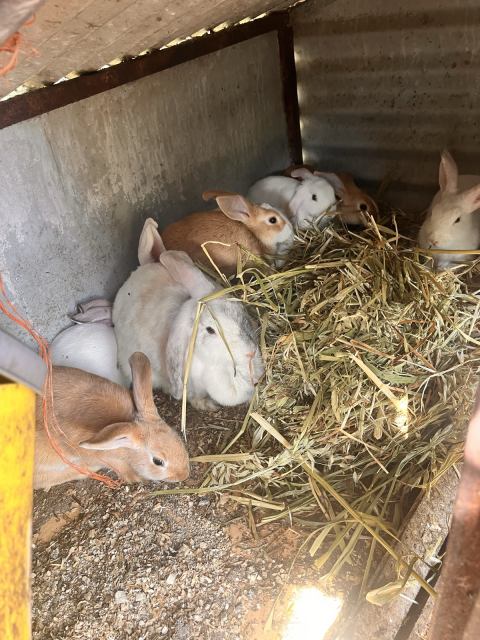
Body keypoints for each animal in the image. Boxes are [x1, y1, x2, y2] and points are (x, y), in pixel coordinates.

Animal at [34, 352, 190, 489]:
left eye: (178, 438)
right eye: (158, 461)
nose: (183, 475)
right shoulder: (99, 456)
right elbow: (117, 465)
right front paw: (136, 478)